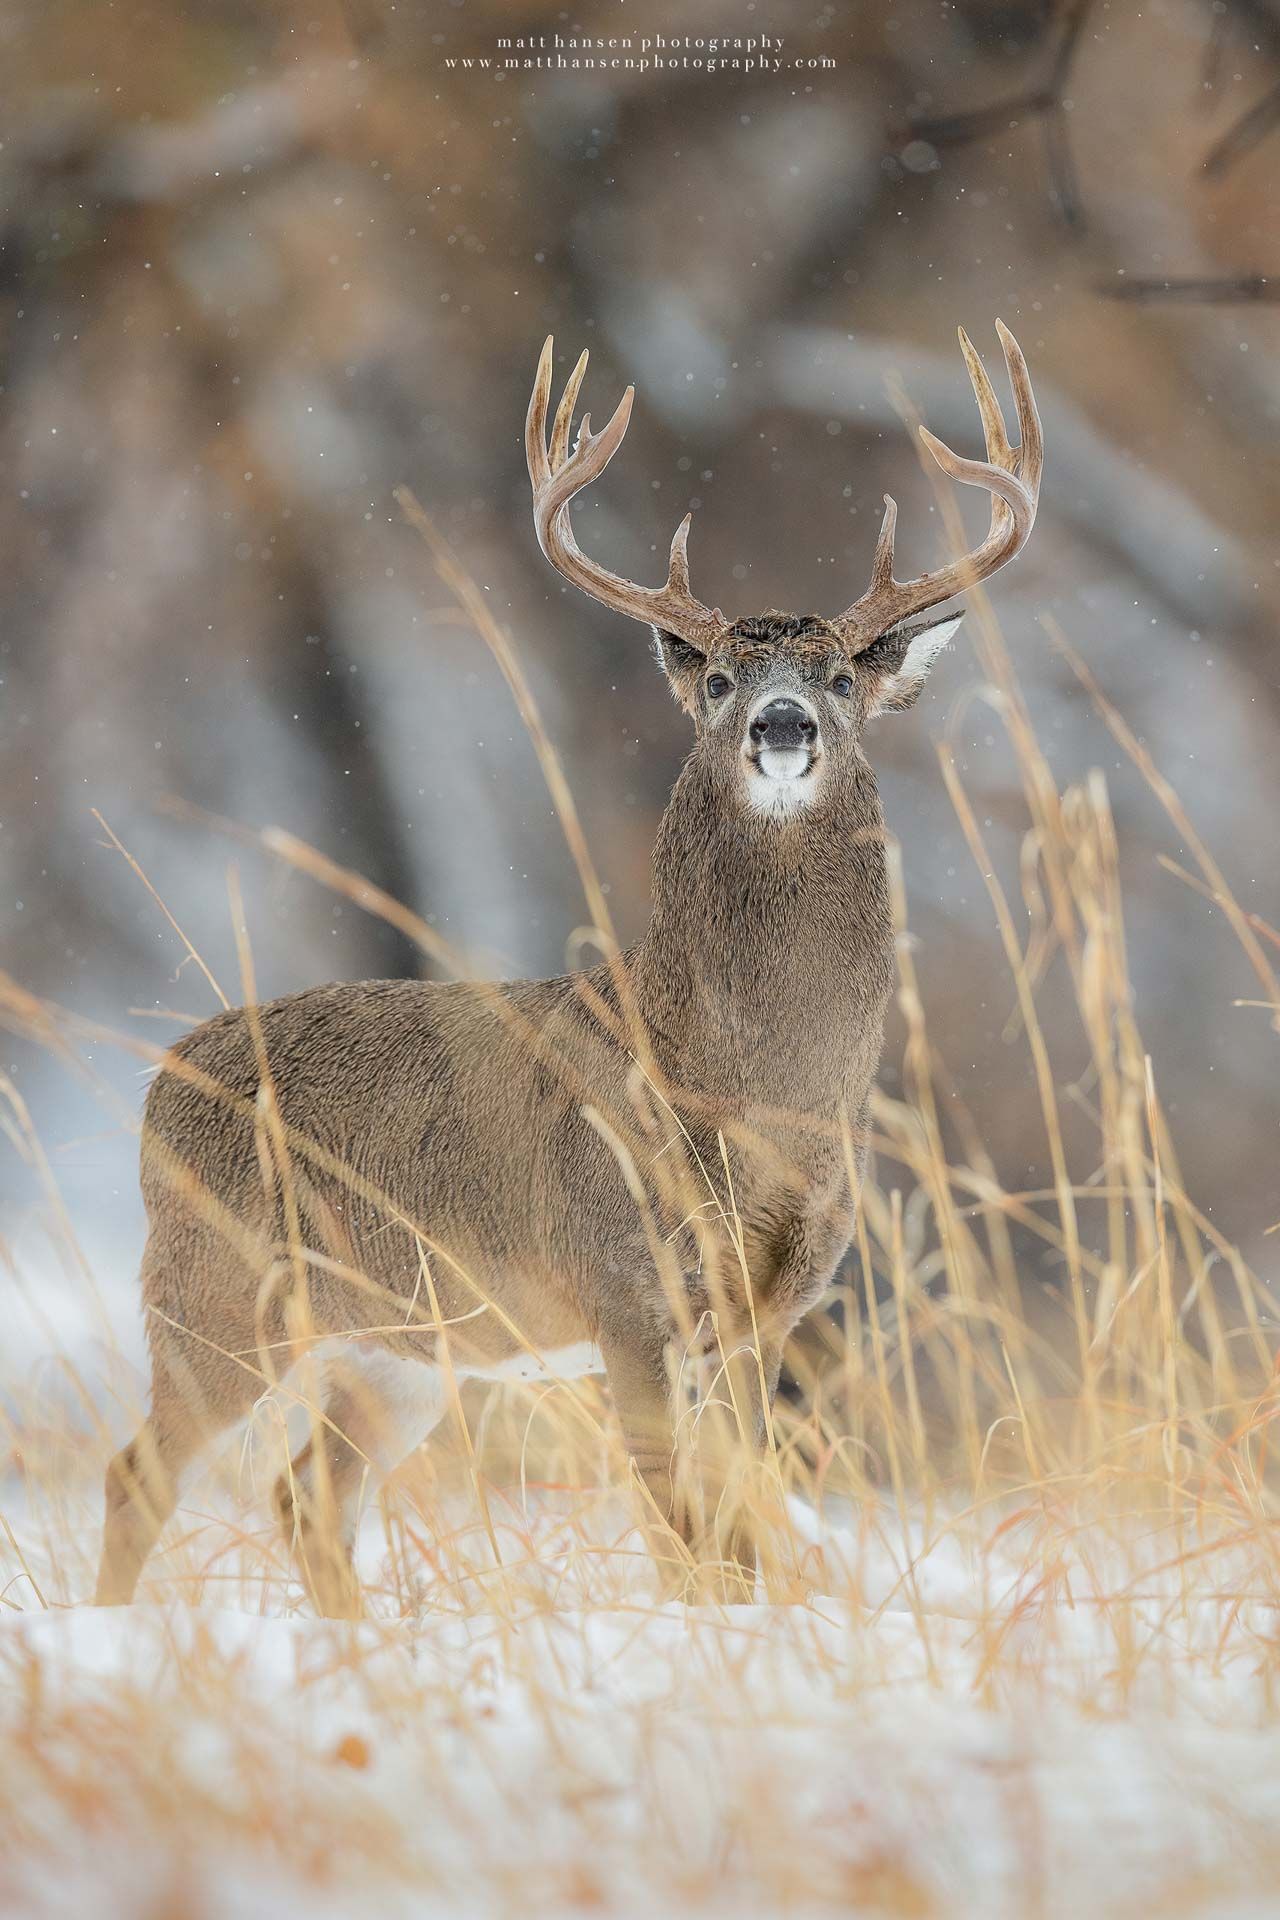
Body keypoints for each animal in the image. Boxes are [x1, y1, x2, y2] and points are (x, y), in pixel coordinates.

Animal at [95, 322, 1041, 1617]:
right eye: (714, 680)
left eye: (845, 677)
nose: (781, 724)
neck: (754, 1100)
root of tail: (157, 1083)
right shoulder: (623, 1293)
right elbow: (682, 1534)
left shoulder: (764, 1319)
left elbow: (739, 1529)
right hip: (215, 1290)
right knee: (140, 1475)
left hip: (396, 1346)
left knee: (306, 1496)